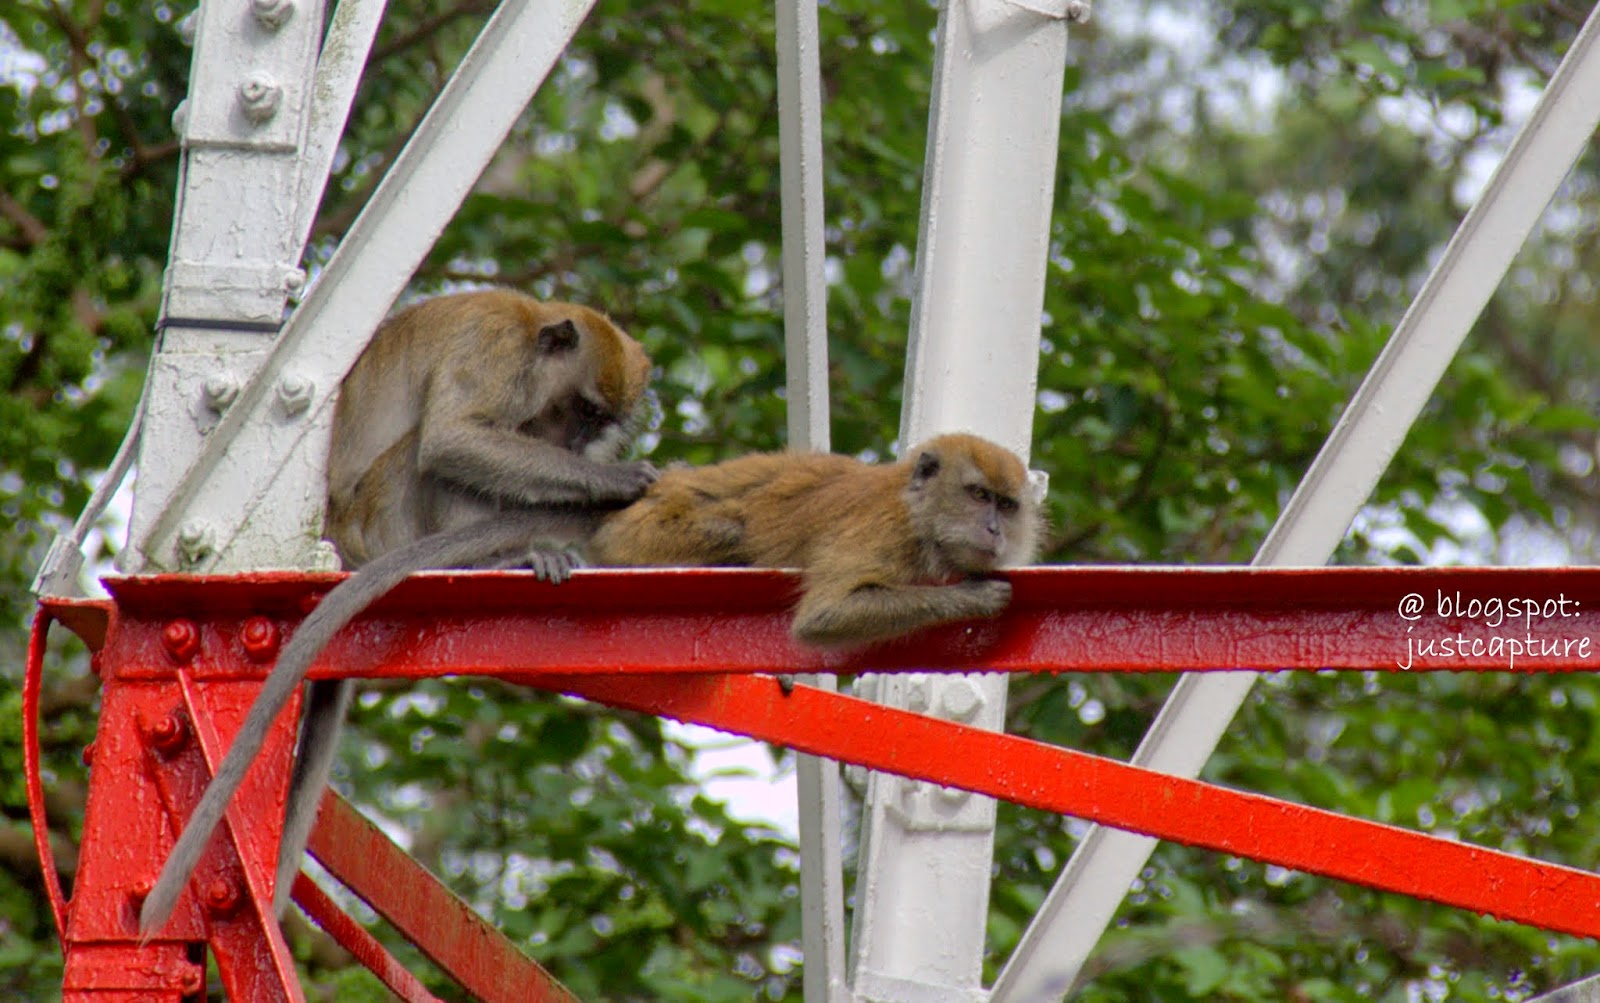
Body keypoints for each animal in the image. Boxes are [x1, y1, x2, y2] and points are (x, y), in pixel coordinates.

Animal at [140, 289, 656, 935]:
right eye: (583, 409)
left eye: (598, 421)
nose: (575, 445)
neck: (529, 332)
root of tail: (338, 539)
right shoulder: (493, 354)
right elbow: (455, 440)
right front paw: (612, 480)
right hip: (380, 518)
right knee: (434, 456)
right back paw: (488, 560)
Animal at [588, 433, 1041, 647]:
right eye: (978, 495)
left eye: (1006, 505)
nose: (994, 529)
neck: (917, 512)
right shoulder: (885, 531)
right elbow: (826, 615)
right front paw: (973, 598)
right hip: (640, 533)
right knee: (736, 530)